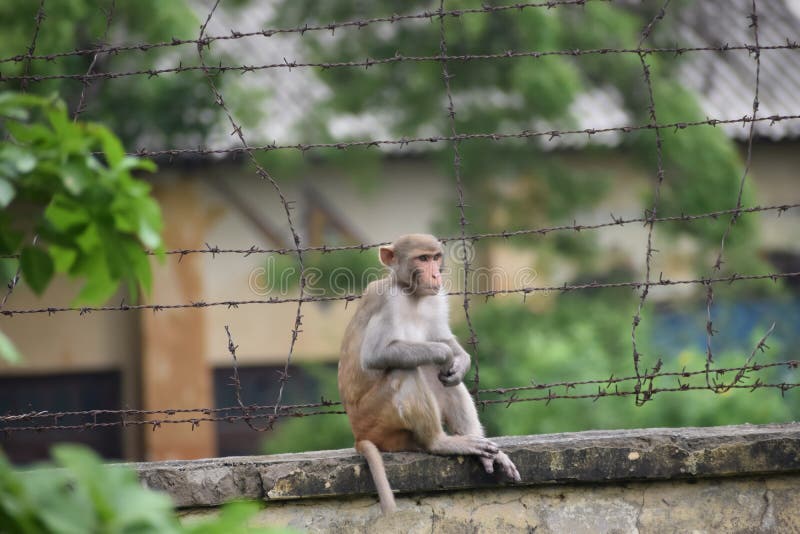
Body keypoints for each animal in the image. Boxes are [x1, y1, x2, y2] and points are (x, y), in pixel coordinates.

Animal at [338, 233, 520, 515]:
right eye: (422, 259)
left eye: (435, 258)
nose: (436, 275)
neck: (410, 293)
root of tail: (360, 436)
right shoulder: (388, 301)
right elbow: (376, 355)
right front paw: (445, 354)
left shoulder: (436, 298)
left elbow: (443, 339)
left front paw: (461, 361)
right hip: (376, 419)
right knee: (405, 369)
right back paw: (439, 442)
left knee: (439, 378)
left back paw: (481, 447)